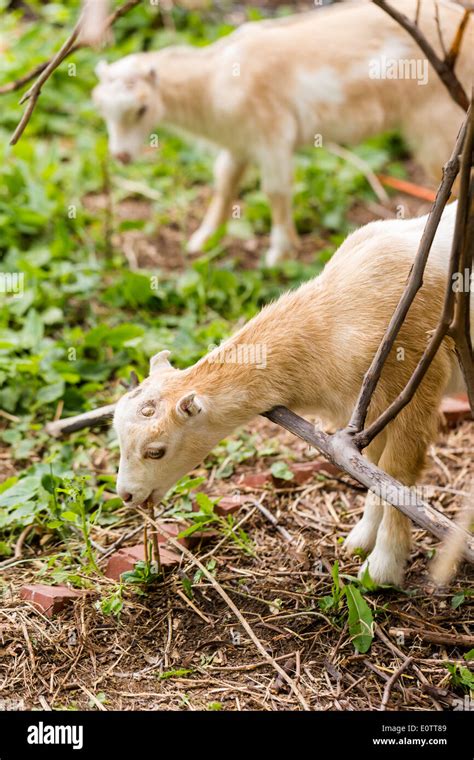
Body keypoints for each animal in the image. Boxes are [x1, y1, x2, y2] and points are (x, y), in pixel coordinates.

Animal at [92, 0, 472, 265]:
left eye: (141, 109)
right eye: (102, 110)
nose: (121, 156)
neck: (214, 81)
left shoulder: (271, 137)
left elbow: (275, 191)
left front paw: (280, 253)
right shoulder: (239, 143)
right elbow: (224, 182)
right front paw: (204, 239)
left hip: (438, 120)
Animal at [113, 202, 471, 587]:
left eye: (156, 451)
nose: (126, 494)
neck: (331, 322)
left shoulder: (416, 385)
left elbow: (397, 475)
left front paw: (382, 569)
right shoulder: (368, 410)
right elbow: (375, 470)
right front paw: (360, 540)